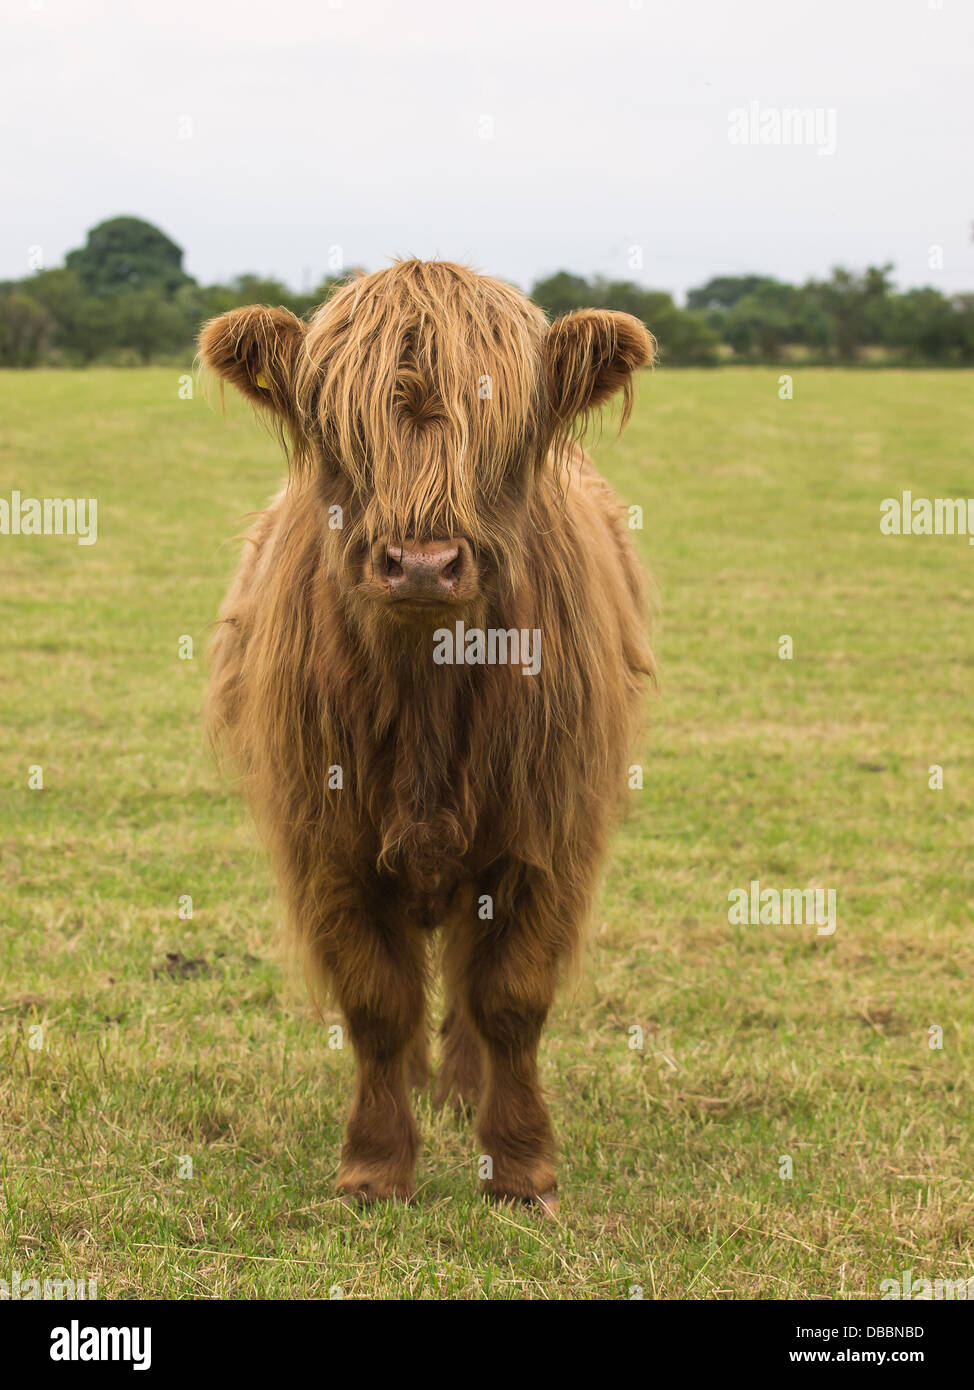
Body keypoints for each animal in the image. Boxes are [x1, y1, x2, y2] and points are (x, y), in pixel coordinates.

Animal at [199, 259, 655, 1213]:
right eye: (338, 432)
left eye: (508, 432)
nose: (420, 564)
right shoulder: (326, 842)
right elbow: (377, 1002)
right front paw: (375, 1168)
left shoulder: (547, 835)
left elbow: (512, 997)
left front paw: (521, 1168)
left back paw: (461, 1092)